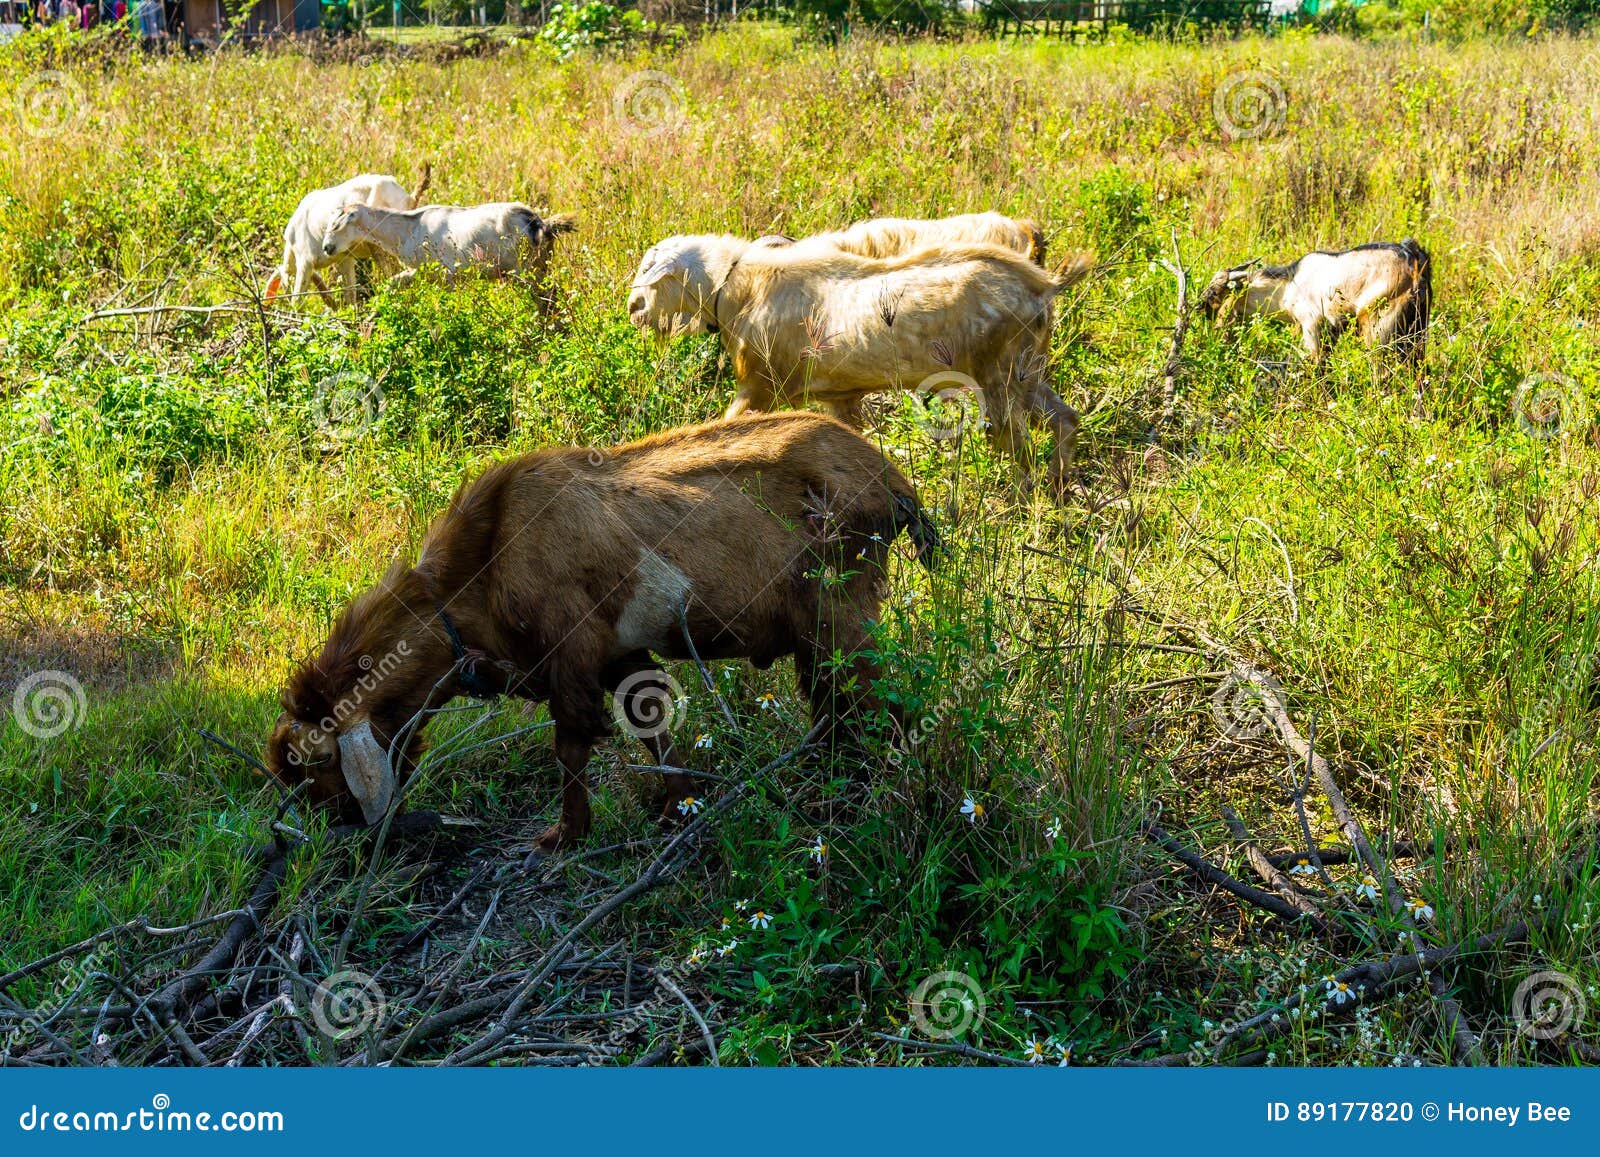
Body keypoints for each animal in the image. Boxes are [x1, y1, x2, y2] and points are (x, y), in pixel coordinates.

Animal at [264, 412, 939, 850]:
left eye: (318, 761)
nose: (345, 827)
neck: (479, 569)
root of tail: (896, 482)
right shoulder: (620, 653)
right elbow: (651, 717)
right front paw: (676, 808)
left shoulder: (573, 650)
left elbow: (570, 744)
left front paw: (564, 836)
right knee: (835, 701)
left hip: (841, 606)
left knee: (883, 697)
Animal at [320, 202, 576, 284]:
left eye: (336, 225)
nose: (326, 248)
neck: (409, 230)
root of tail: (541, 224)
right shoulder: (421, 271)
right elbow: (394, 283)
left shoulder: (447, 276)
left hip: (525, 270)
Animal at [627, 235, 1093, 490]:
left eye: (652, 269)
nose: (633, 307)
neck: (735, 286)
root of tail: (1043, 286)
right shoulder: (840, 397)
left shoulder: (761, 386)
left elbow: (732, 422)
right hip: (1028, 367)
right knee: (1065, 419)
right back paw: (1059, 488)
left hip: (995, 374)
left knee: (1018, 447)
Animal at [1199, 239, 1431, 364]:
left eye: (1214, 292)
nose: (1200, 309)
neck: (1288, 285)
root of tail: (1415, 262)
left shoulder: (1311, 325)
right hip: (1418, 329)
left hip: (1379, 324)